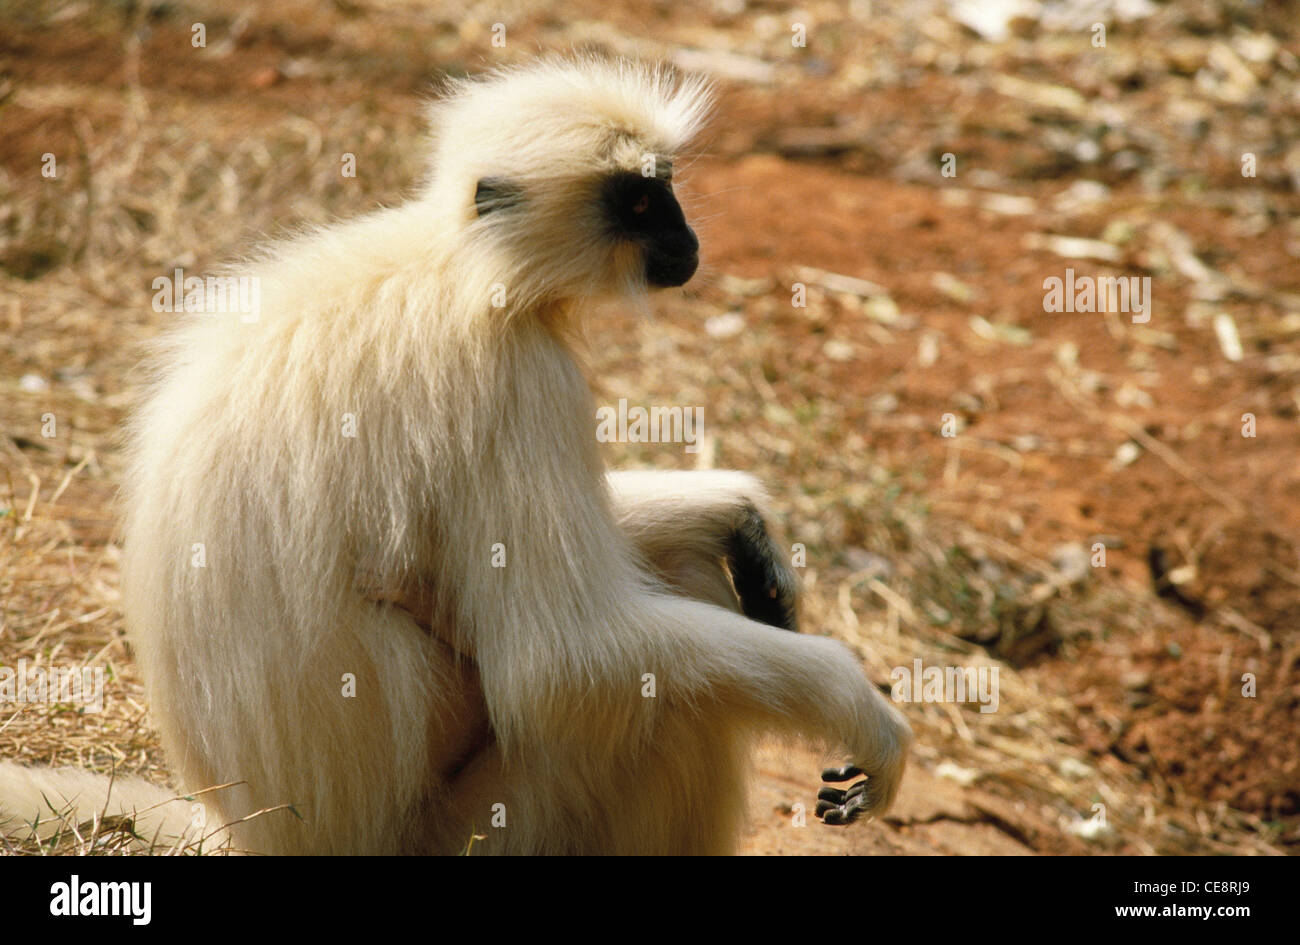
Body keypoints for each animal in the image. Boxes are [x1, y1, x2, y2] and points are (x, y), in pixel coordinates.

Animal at [0, 56, 910, 855]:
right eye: (639, 202)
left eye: (665, 190)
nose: (687, 236)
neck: (459, 265)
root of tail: (241, 831)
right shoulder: (515, 373)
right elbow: (560, 664)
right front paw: (856, 701)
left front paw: (739, 510)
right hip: (472, 829)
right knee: (665, 703)